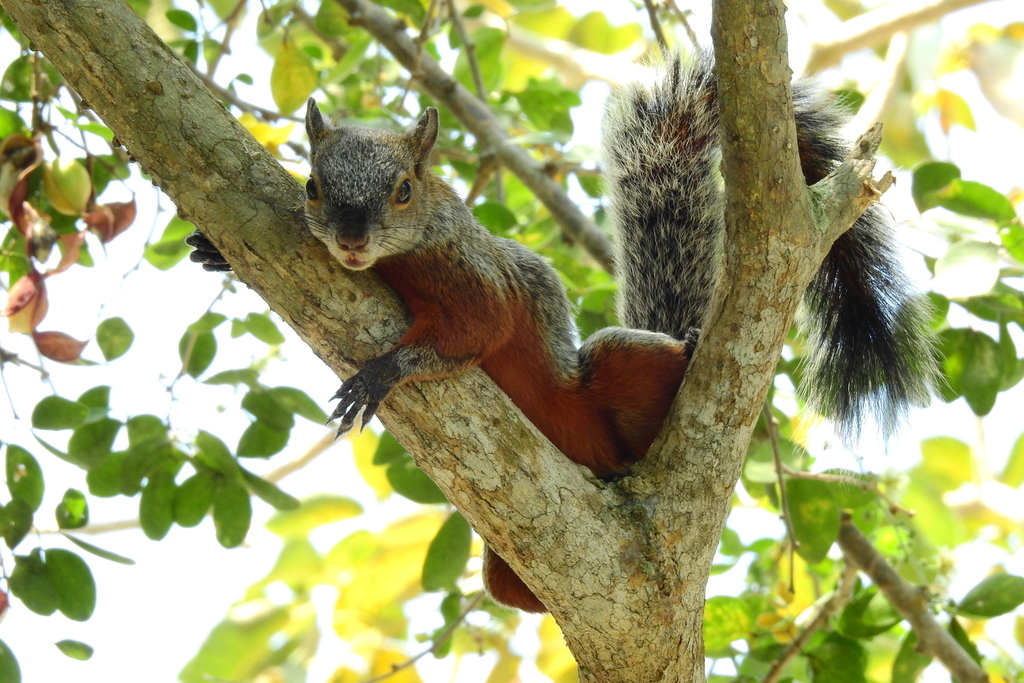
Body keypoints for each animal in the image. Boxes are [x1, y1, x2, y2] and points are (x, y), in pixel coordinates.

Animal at [188, 53, 937, 613]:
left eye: (403, 189)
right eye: (312, 187)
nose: (349, 241)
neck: (400, 264)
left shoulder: (476, 281)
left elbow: (474, 333)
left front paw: (382, 373)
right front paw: (218, 251)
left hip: (617, 369)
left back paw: (688, 355)